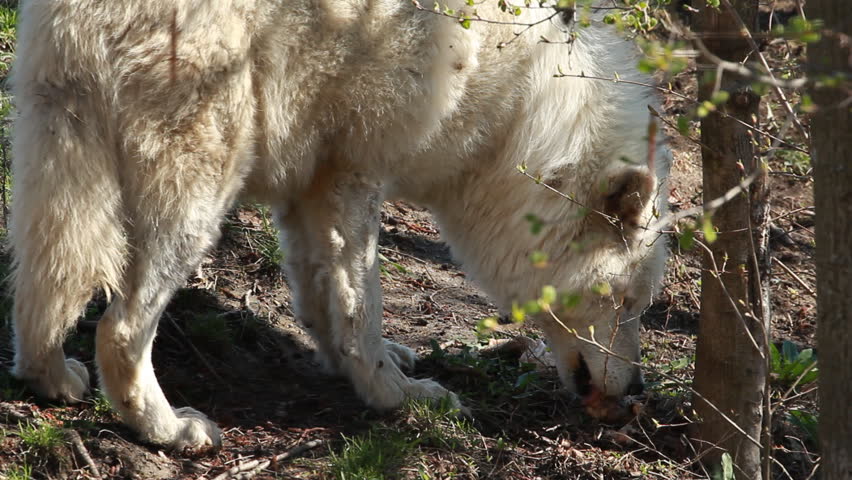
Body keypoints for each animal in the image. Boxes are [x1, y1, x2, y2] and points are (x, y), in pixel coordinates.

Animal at [8, 0, 668, 449]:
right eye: (629, 302)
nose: (637, 391)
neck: (513, 103)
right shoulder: (355, 177)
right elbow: (361, 305)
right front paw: (395, 398)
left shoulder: (310, 185)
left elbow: (320, 299)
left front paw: (356, 368)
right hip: (200, 194)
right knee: (119, 329)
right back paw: (168, 429)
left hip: (55, 162)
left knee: (40, 288)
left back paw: (51, 379)